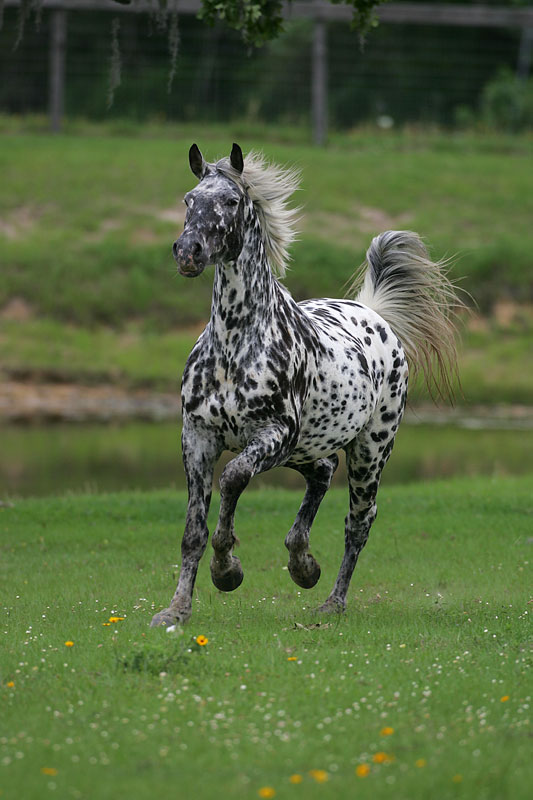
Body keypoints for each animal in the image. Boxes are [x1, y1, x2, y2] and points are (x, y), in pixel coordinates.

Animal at [150, 143, 462, 627]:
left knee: (358, 522)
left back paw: (331, 600)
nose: (188, 251)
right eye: (189, 199)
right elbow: (193, 532)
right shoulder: (197, 437)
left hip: (368, 453)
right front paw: (176, 610)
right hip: (305, 449)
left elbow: (233, 479)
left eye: (232, 201)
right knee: (322, 472)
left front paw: (227, 569)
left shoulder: (272, 434)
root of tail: (373, 314)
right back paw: (303, 564)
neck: (236, 342)